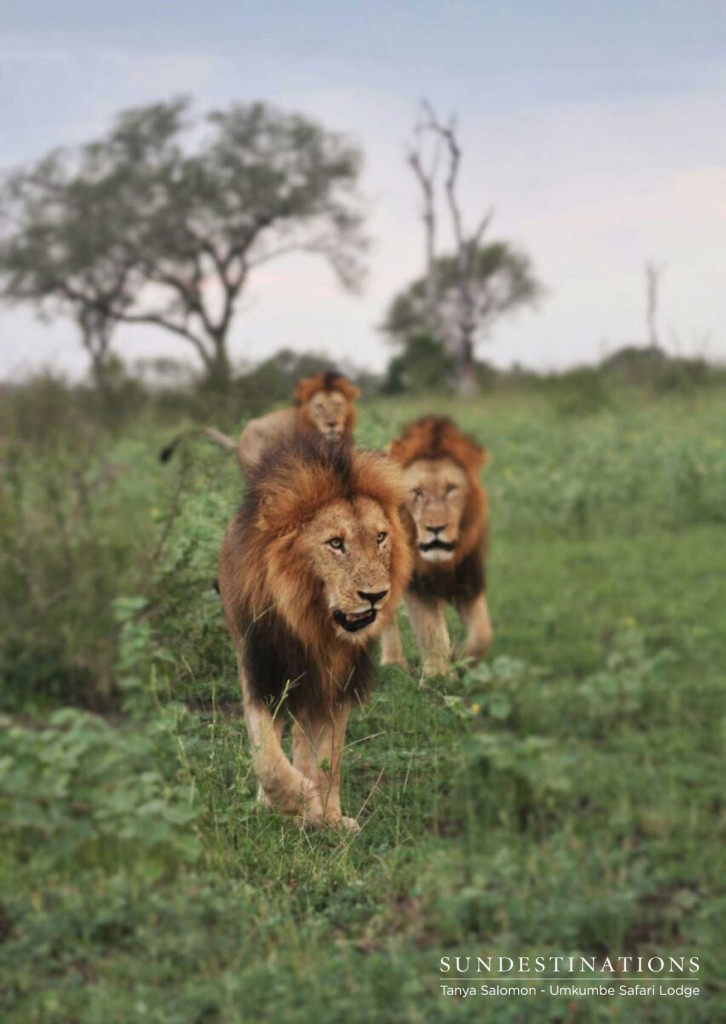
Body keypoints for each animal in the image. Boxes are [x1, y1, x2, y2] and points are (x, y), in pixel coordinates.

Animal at [217, 434, 412, 829]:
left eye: (381, 537)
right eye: (336, 543)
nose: (375, 596)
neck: (312, 625)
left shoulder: (337, 686)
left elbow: (329, 759)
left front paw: (330, 819)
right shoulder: (262, 673)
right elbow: (266, 756)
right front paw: (296, 800)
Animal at [380, 415, 493, 679]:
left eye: (450, 489)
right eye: (417, 492)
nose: (435, 528)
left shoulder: (470, 582)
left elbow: (482, 633)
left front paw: (461, 657)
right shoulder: (417, 586)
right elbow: (428, 631)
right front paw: (438, 675)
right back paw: (393, 662)